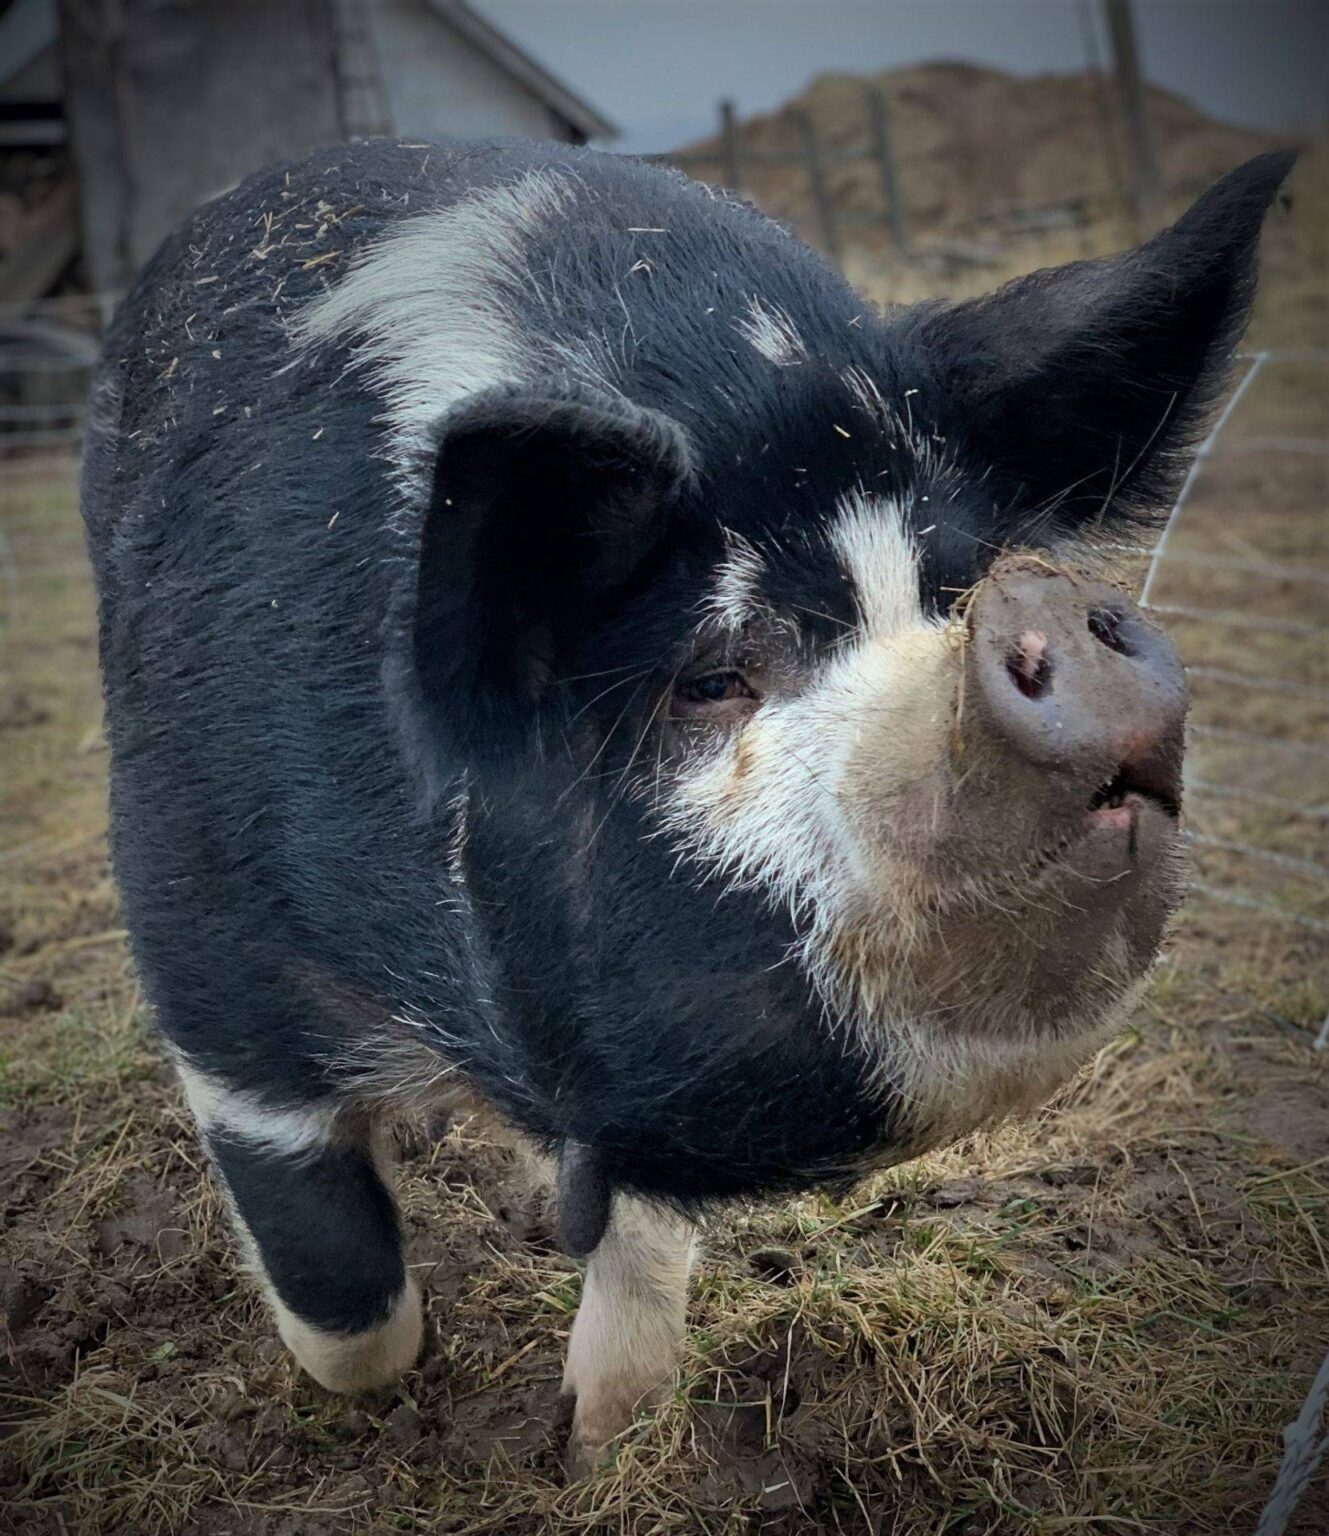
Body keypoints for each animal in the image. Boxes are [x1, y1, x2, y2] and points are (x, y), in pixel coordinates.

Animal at [81, 138, 1291, 1469]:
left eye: (961, 589)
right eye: (711, 676)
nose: (1049, 612)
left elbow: (644, 1240)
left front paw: (595, 1442)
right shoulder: (203, 946)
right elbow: (342, 1285)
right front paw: (380, 1414)